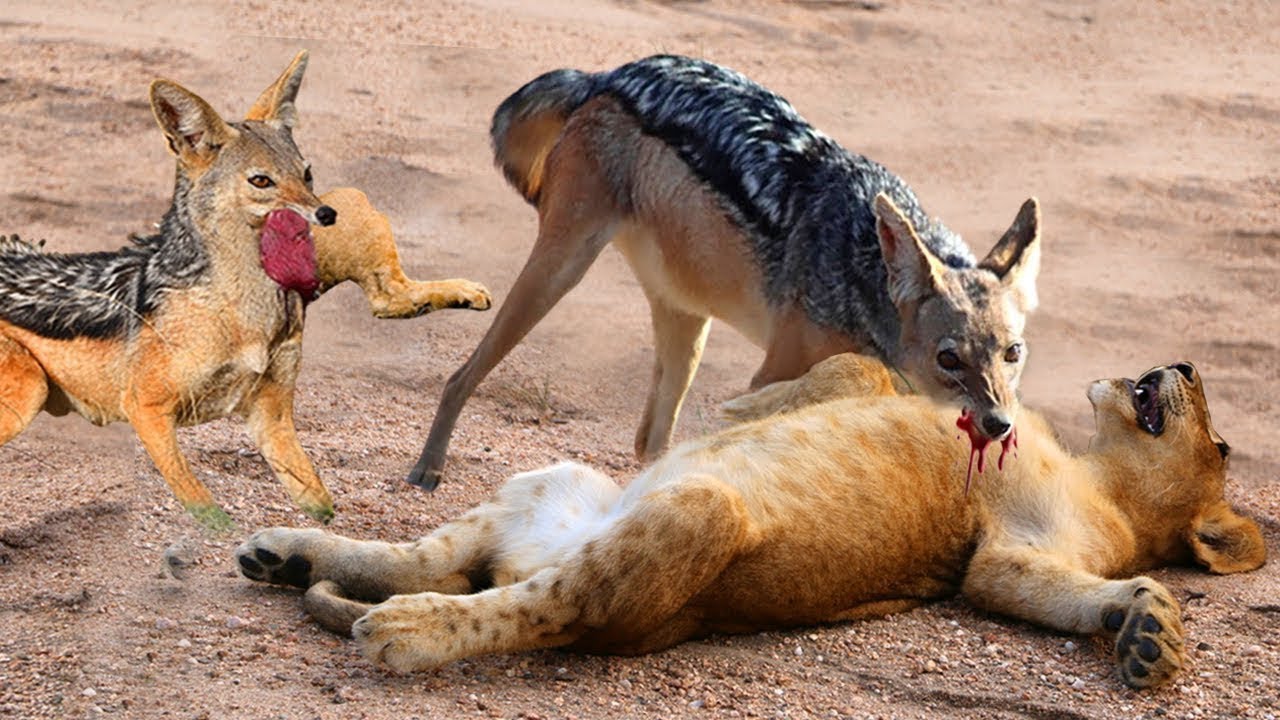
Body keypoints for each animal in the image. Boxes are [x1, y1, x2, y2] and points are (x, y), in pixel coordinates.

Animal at [235, 354, 1264, 688]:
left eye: (1218, 445)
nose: (1183, 363)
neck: (1097, 469)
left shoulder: (1017, 549)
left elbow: (1030, 583)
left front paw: (1149, 633)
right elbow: (850, 369)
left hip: (698, 513)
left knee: (530, 604)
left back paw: (404, 630)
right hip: (550, 485)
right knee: (415, 556)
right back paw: (283, 553)